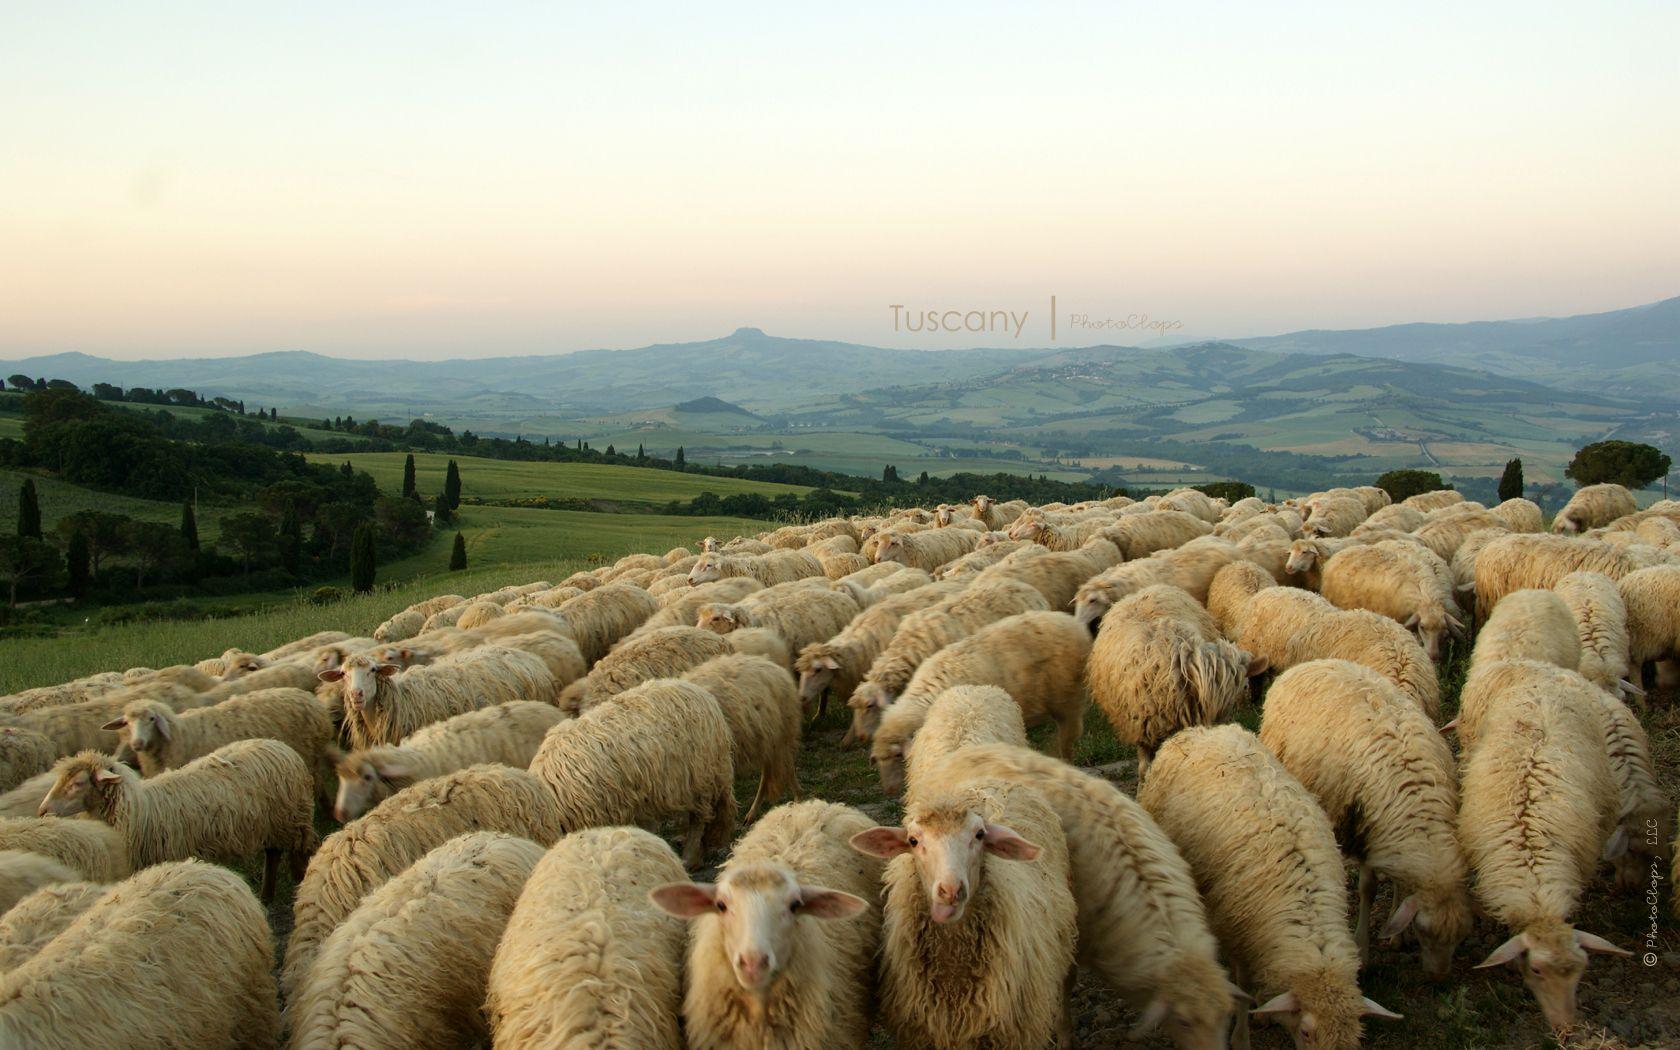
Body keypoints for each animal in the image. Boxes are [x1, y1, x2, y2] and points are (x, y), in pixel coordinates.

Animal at [38, 740, 314, 902]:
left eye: (78, 783)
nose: (42, 811)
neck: (139, 810)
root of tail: (280, 746)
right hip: (273, 824)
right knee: (273, 854)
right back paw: (266, 894)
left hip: (291, 821)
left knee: (292, 855)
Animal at [870, 611, 1091, 796]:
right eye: (878, 760)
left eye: (898, 755)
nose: (889, 791)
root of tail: (1074, 623)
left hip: (1068, 700)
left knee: (1069, 736)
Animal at [953, 744, 1238, 1049]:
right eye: (1184, 1020)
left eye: (1226, 1014)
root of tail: (968, 751)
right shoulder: (1070, 937)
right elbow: (1065, 984)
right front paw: (1065, 1035)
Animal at [1138, 725, 1400, 1049]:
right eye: (1306, 1032)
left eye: (1356, 1034)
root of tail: (1200, 731)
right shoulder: (1237, 929)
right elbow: (1243, 983)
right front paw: (1243, 1033)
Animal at [1258, 660, 1472, 976]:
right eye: (1424, 932)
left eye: (1460, 937)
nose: (1439, 977)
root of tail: (1314, 663)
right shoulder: (1364, 829)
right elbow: (1368, 888)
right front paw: (1363, 949)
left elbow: (1400, 882)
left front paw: (1397, 935)